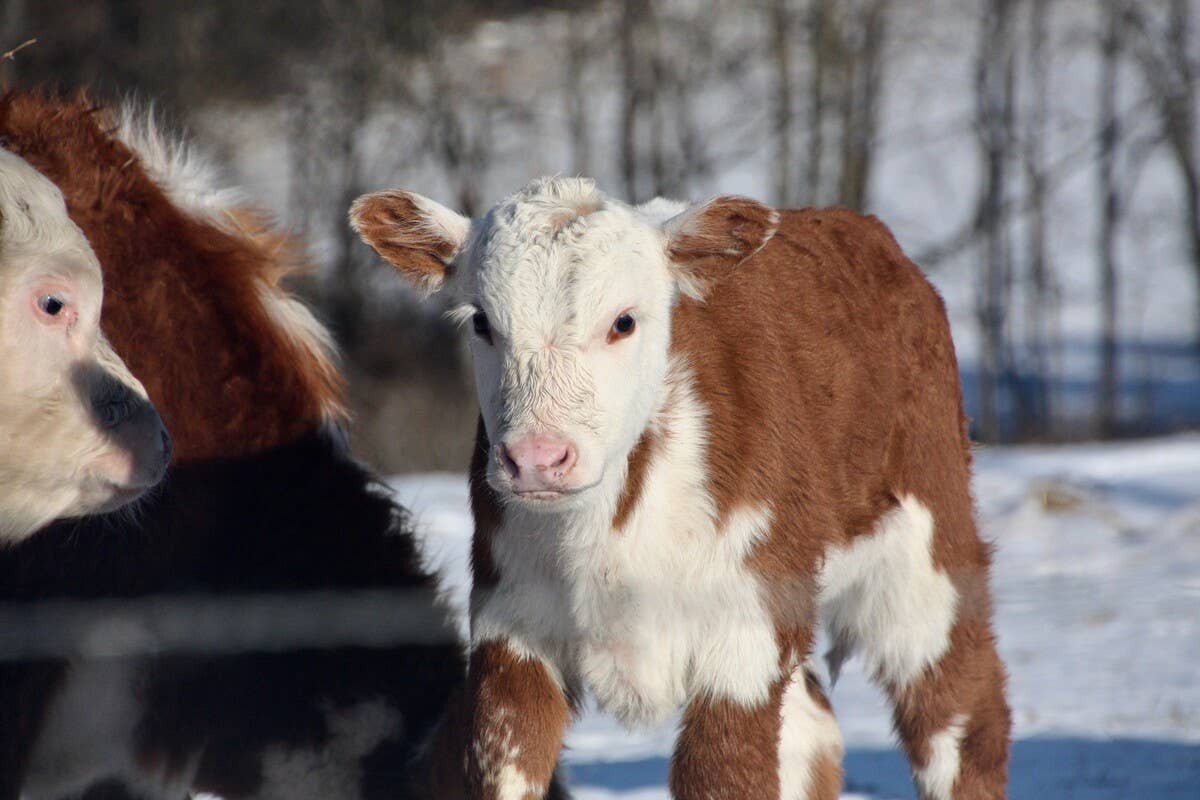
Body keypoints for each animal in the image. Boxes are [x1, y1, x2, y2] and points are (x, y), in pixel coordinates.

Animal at [352, 176, 1013, 800]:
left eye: (624, 321)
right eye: (482, 321)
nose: (537, 458)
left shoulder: (743, 628)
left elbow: (723, 776)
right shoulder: (511, 625)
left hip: (926, 551)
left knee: (959, 718)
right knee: (813, 730)